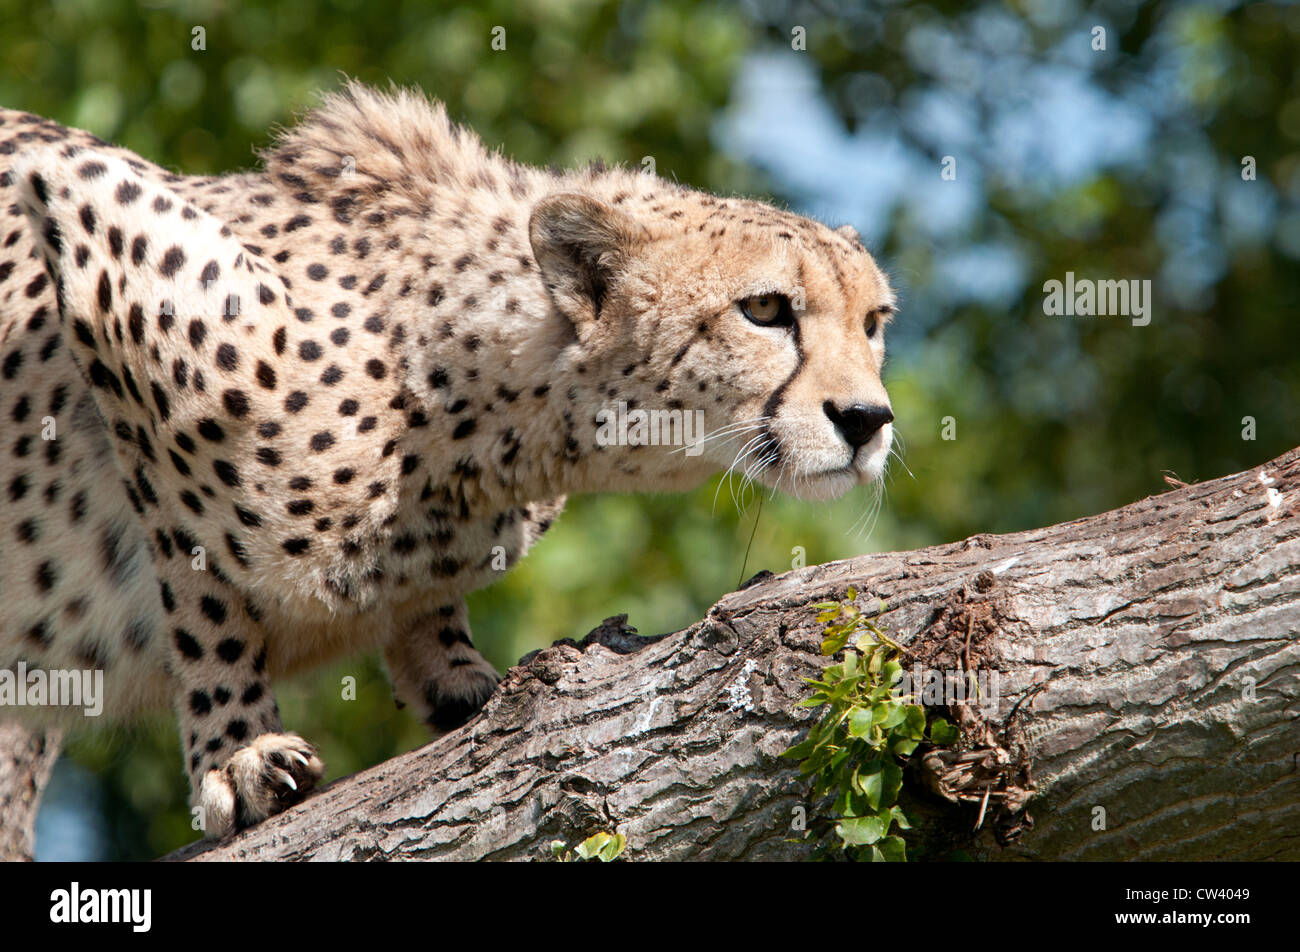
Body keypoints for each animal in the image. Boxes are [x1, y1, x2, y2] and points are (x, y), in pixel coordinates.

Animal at [0, 82, 896, 839]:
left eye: (874, 321)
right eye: (766, 309)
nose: (869, 420)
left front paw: (452, 670)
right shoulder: (88, 210)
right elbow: (199, 584)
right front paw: (236, 755)